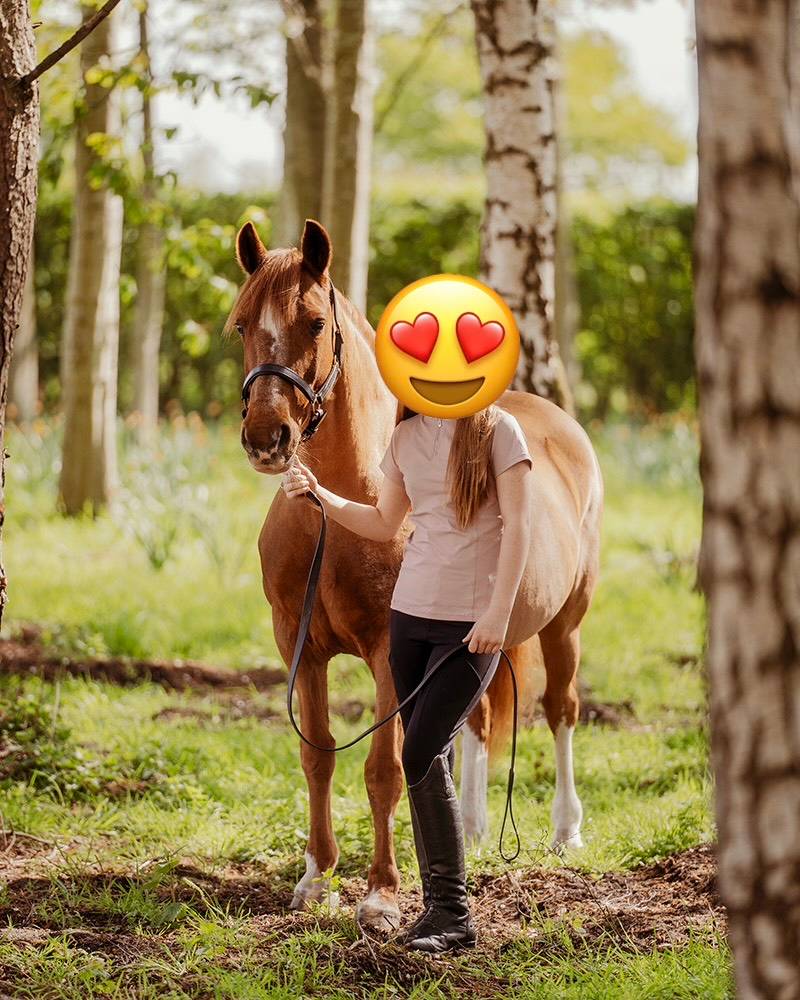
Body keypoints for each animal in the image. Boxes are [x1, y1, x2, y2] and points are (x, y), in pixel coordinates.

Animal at [225, 217, 604, 930]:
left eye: (314, 322)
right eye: (239, 325)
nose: (267, 439)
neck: (345, 512)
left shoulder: (385, 652)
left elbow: (382, 769)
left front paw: (380, 894)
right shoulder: (298, 646)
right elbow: (317, 753)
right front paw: (316, 877)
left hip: (565, 623)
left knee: (561, 709)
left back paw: (567, 831)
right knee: (473, 725)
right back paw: (477, 830)